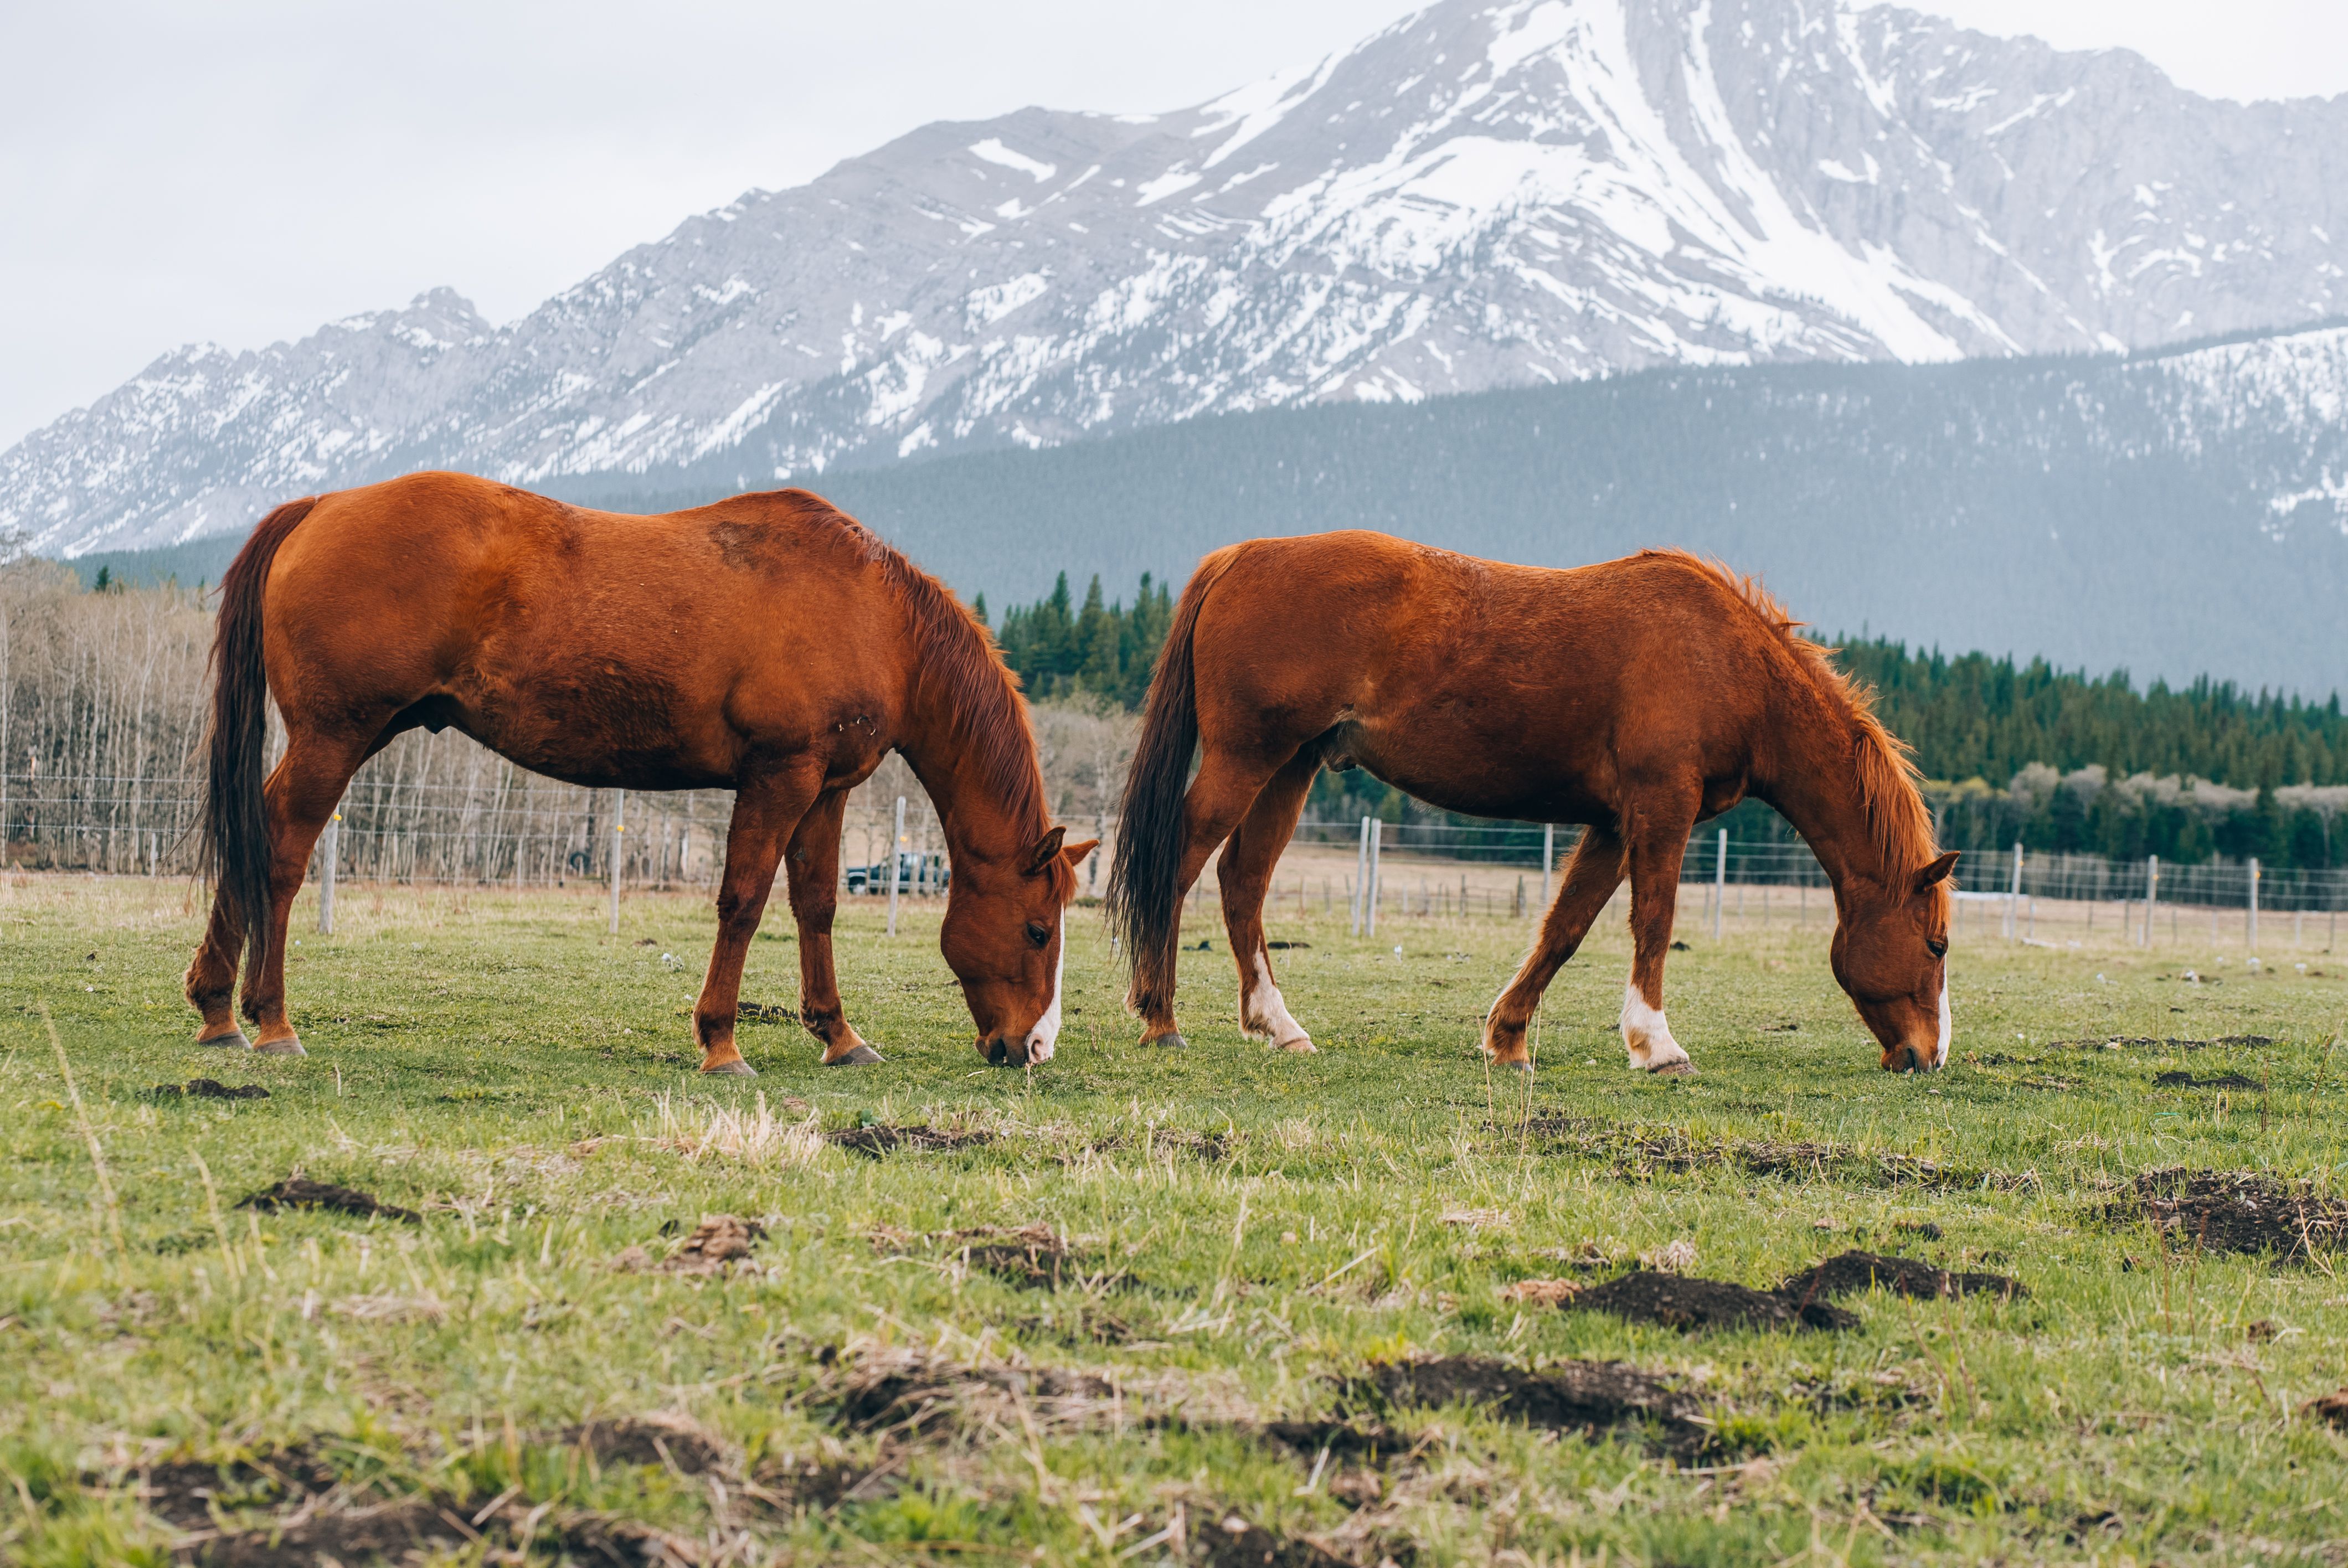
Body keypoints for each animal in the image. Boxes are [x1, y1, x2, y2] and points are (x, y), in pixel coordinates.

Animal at [191, 471, 1095, 1074]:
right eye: (1037, 930)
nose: (1033, 1047)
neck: (875, 614)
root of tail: (321, 506)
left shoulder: (827, 789)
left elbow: (816, 906)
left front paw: (839, 1035)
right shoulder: (780, 778)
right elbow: (742, 902)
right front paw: (721, 1042)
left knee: (254, 833)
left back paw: (216, 1010)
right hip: (335, 739)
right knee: (278, 851)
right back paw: (270, 1021)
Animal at [1106, 535, 1957, 1074]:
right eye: (1937, 944)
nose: (1928, 1058)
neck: (1725, 661)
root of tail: (1240, 558)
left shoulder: (1613, 823)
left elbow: (1565, 928)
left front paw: (1508, 1040)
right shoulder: (1662, 809)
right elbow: (1654, 923)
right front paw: (1657, 1046)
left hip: (1290, 768)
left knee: (1242, 880)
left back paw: (1279, 1027)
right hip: (1246, 760)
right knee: (1177, 866)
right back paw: (1160, 1020)